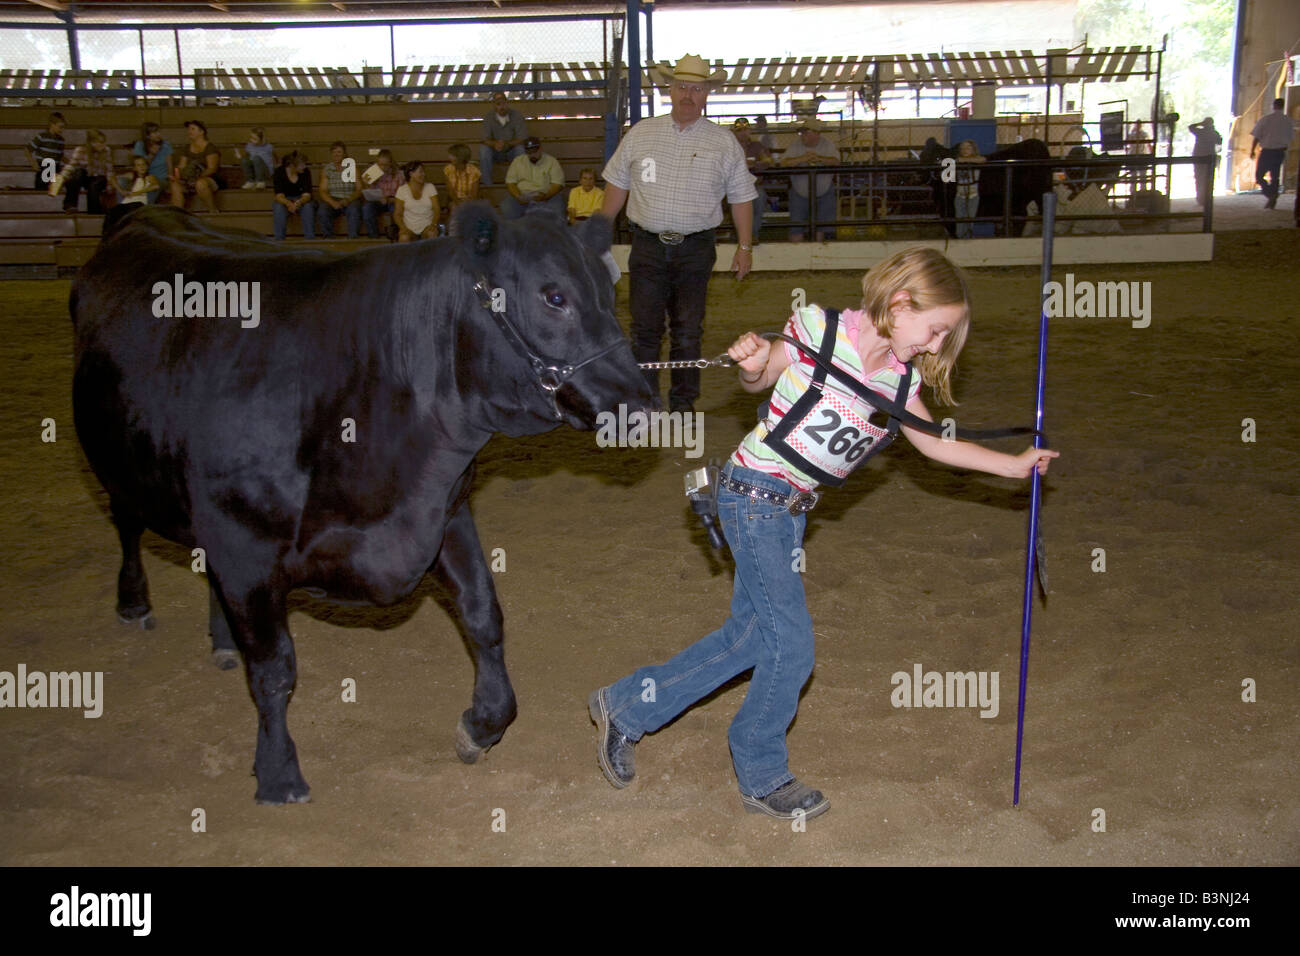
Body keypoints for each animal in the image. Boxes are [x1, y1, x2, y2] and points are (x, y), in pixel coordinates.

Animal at [71, 202, 655, 804]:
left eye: (609, 289)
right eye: (553, 296)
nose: (642, 405)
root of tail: (144, 210)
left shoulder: (441, 512)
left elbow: (483, 613)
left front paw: (481, 724)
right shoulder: (244, 544)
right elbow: (275, 669)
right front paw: (278, 774)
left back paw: (222, 639)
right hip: (119, 463)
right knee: (125, 524)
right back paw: (134, 604)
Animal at [919, 137, 1053, 237]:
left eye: (937, 158)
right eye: (921, 156)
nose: (918, 175)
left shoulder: (951, 212)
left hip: (1039, 193)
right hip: (1019, 201)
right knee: (1020, 218)